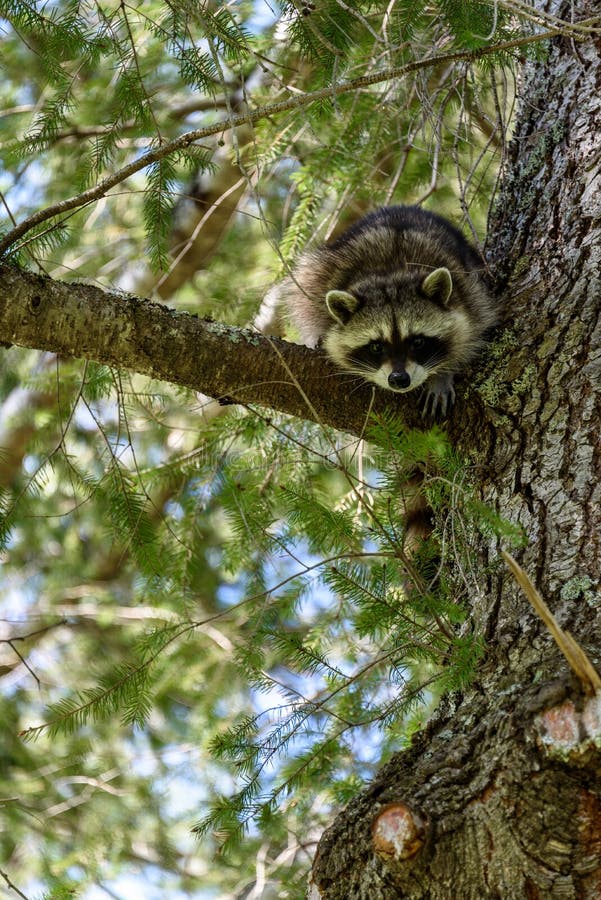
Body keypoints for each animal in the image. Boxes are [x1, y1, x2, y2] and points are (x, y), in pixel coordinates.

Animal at [271, 205, 497, 416]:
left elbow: (471, 332)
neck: (393, 274)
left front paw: (442, 374)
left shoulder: (470, 293)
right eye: (376, 346)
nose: (399, 379)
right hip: (319, 268)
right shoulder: (321, 288)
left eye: (418, 342)